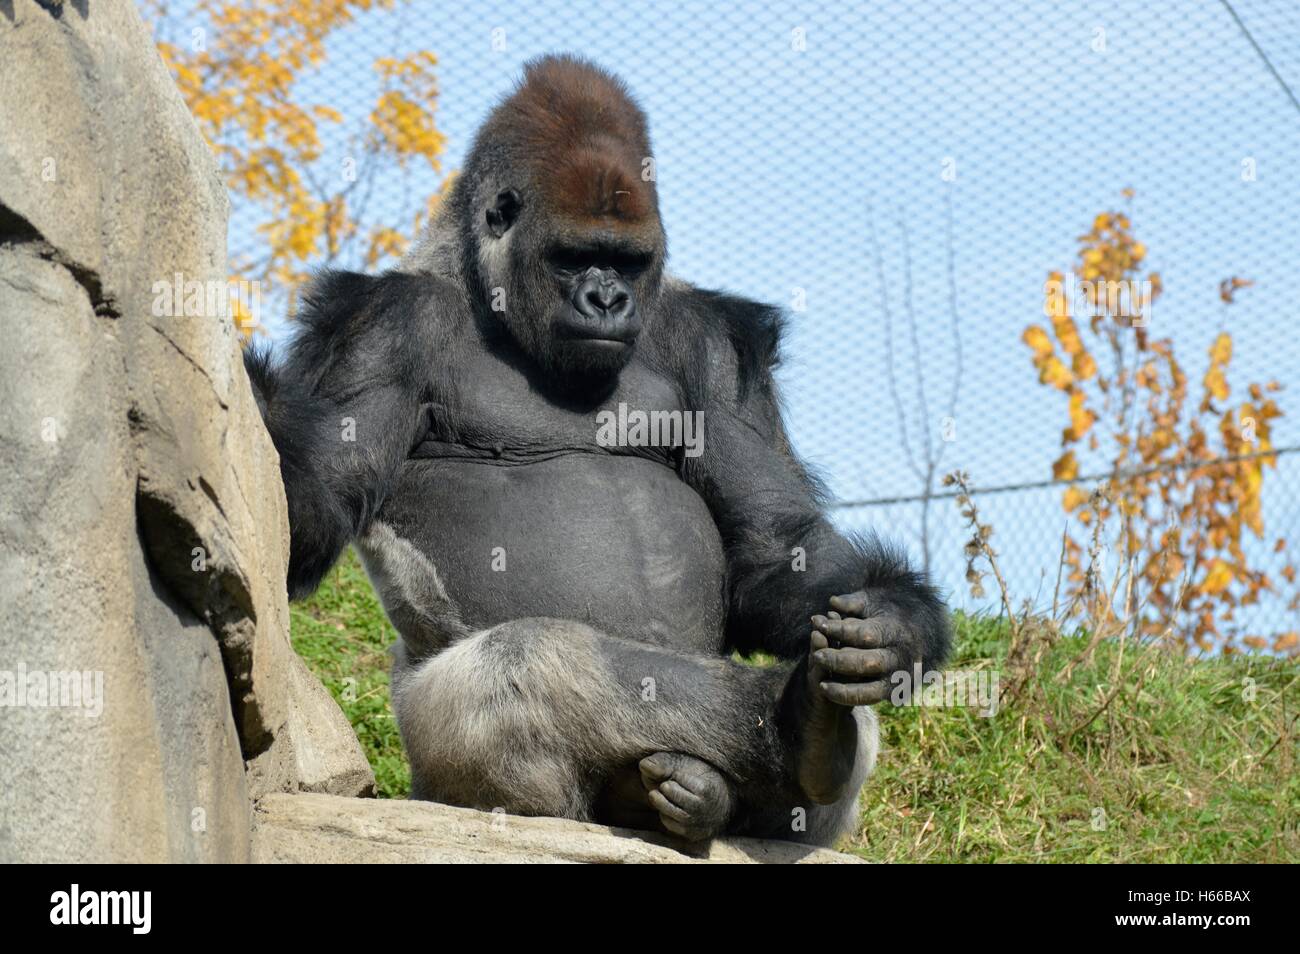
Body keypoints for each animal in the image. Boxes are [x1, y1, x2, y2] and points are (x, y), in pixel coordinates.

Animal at [246, 55, 951, 846]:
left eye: (627, 261)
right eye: (573, 257)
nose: (608, 301)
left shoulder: (712, 339)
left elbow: (777, 537)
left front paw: (898, 624)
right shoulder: (377, 327)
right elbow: (316, 505)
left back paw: (750, 771)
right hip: (439, 766)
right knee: (521, 665)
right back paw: (782, 734)